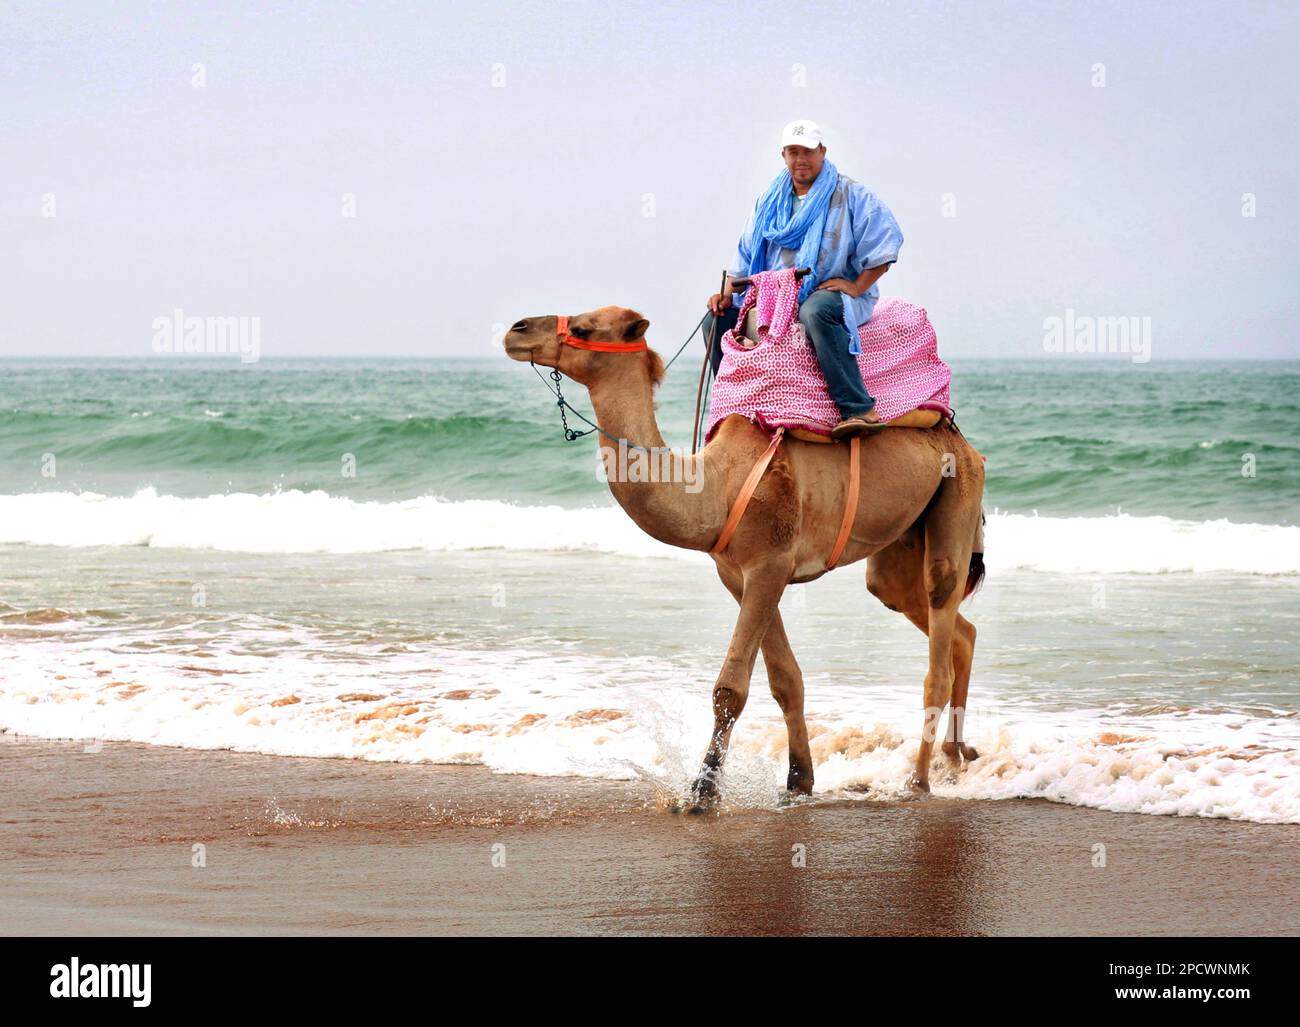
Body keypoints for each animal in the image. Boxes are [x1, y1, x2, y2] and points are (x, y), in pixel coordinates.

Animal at [503, 304, 986, 804]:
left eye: (582, 328)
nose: (516, 330)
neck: (715, 487)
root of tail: (957, 434)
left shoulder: (769, 564)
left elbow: (730, 689)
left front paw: (702, 791)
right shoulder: (738, 574)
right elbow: (786, 680)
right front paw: (798, 781)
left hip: (958, 488)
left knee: (939, 634)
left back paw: (919, 781)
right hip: (900, 538)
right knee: (951, 626)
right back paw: (956, 756)